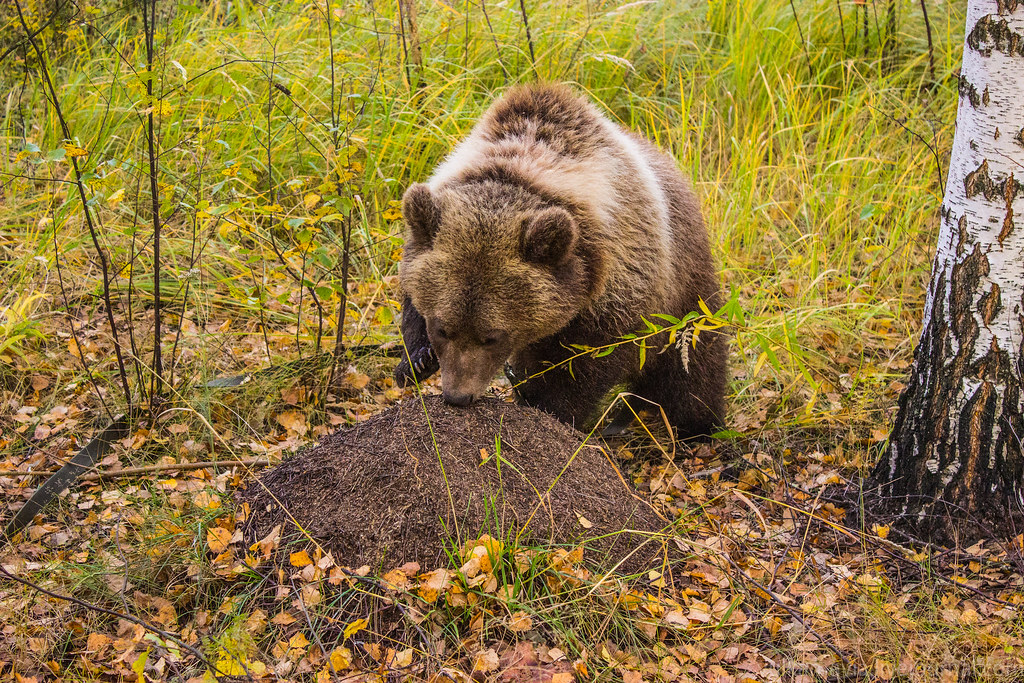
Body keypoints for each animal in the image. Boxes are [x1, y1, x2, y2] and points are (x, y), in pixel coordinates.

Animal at [393, 83, 729, 438]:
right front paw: (416, 361)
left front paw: (551, 408)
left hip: (684, 286)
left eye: (492, 336)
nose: (458, 396)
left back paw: (698, 423)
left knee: (692, 361)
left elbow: (584, 363)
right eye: (442, 328)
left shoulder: (617, 284)